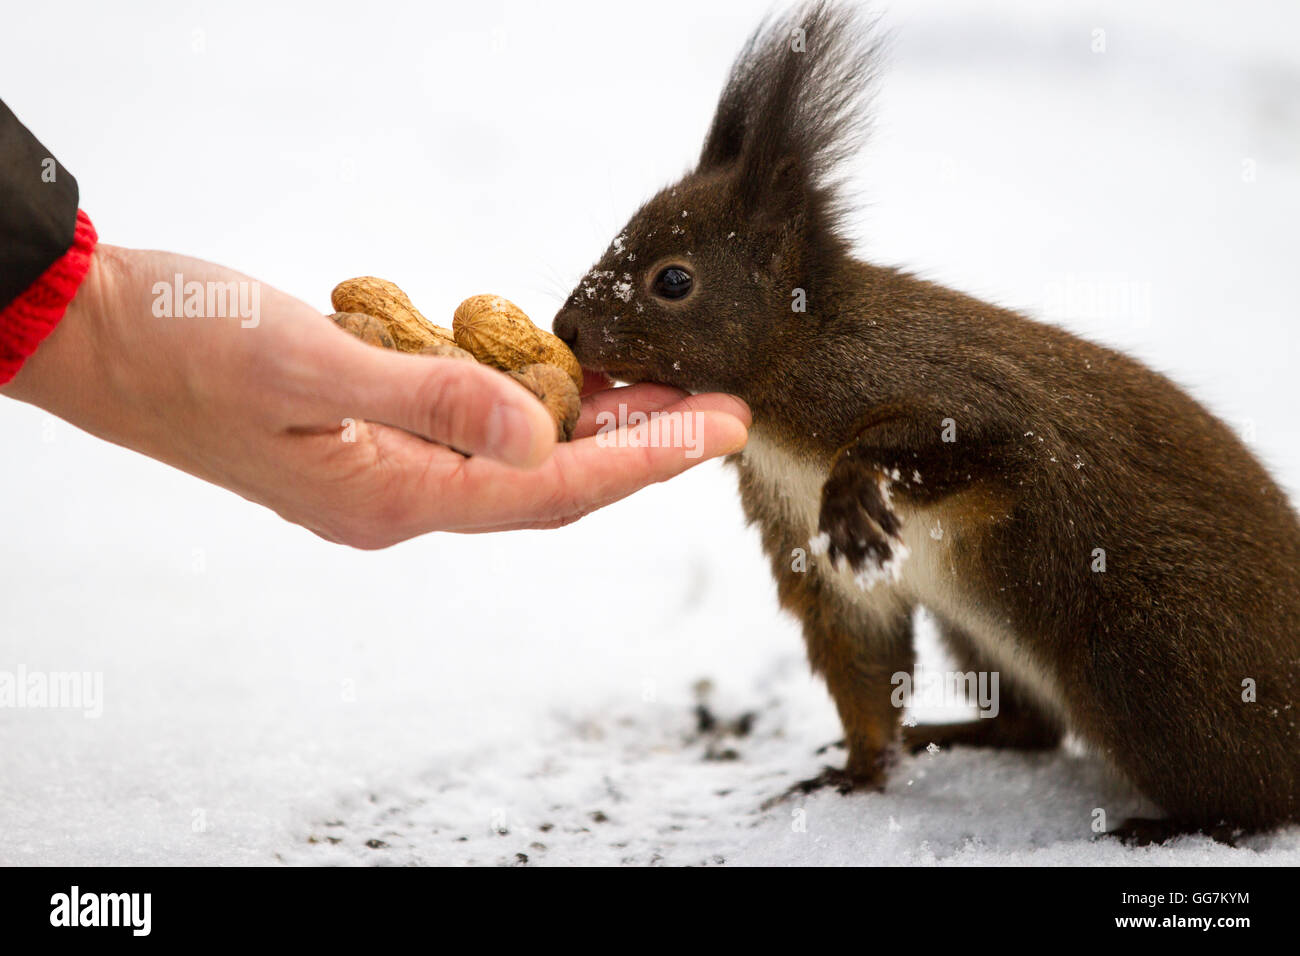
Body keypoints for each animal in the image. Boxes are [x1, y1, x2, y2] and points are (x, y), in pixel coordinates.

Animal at [551, 1, 1300, 843]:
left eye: (673, 280)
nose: (564, 328)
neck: (792, 361)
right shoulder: (794, 524)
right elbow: (862, 644)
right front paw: (856, 773)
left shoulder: (945, 389)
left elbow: (967, 440)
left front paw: (853, 490)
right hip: (985, 638)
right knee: (1033, 731)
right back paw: (951, 735)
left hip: (1153, 665)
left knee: (1259, 800)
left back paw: (1179, 826)